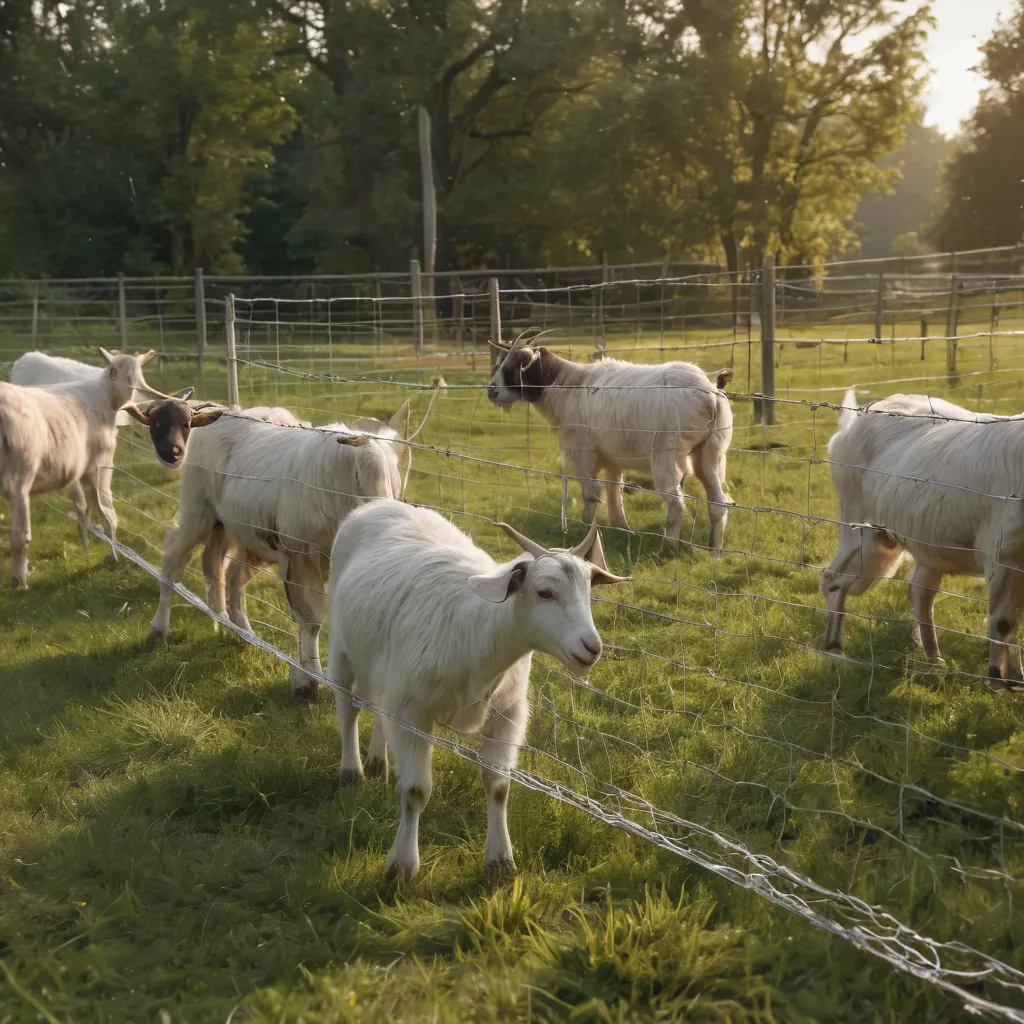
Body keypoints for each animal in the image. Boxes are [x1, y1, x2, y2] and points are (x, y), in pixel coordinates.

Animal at [146, 403, 409, 699]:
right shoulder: (300, 557)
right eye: (362, 475)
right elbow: (312, 619)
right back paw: (158, 630)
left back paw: (238, 630)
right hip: (197, 513)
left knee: (227, 573)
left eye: (395, 476)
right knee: (172, 560)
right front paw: (310, 680)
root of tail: (218, 410)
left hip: (242, 535)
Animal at [326, 499, 630, 881]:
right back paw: (352, 771)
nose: (591, 648)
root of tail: (379, 503)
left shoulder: (508, 714)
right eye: (544, 592)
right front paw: (402, 866)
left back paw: (378, 761)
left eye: (590, 592)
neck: (475, 633)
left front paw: (500, 861)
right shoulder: (412, 712)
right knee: (347, 706)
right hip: (341, 648)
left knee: (377, 707)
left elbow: (498, 786)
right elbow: (415, 791)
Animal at [487, 337, 734, 550]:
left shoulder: (584, 452)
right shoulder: (613, 458)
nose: (491, 391)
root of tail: (709, 395)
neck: (568, 387)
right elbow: (614, 493)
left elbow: (591, 493)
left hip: (666, 452)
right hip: (710, 451)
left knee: (675, 502)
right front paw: (623, 530)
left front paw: (588, 533)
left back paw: (668, 548)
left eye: (516, 365)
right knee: (718, 502)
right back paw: (715, 550)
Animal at [821, 388, 1024, 687]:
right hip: (861, 533)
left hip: (924, 547)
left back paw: (934, 657)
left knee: (919, 591)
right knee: (832, 580)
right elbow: (1004, 623)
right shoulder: (1002, 556)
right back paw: (834, 650)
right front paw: (1004, 682)